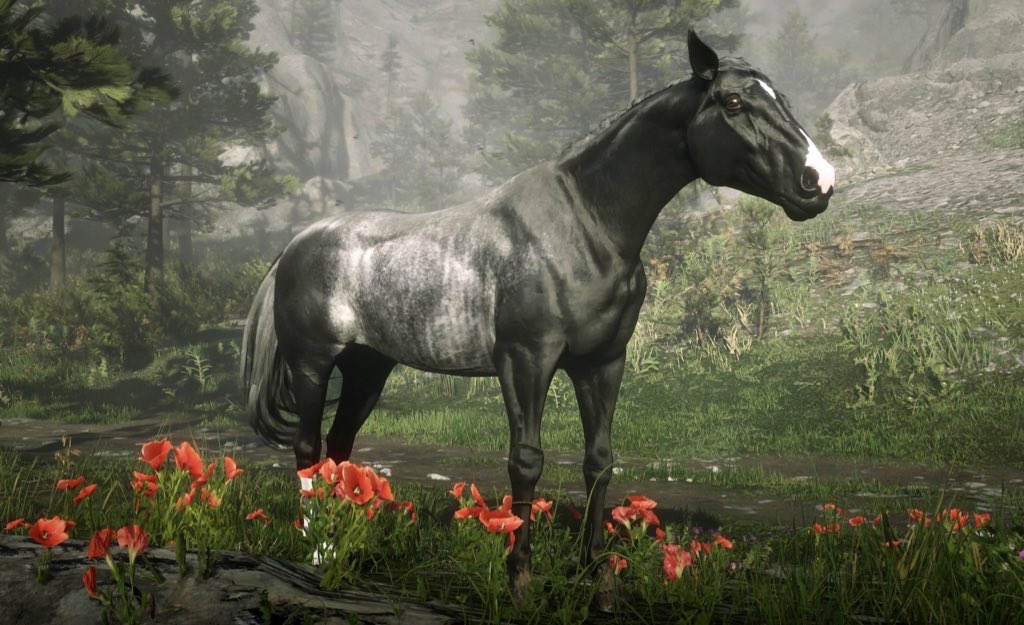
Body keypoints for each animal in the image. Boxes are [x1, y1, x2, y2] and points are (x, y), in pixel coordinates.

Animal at [241, 30, 834, 600]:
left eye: (780, 98)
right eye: (733, 102)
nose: (820, 181)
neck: (585, 227)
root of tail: (295, 245)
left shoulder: (602, 364)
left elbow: (599, 460)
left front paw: (594, 570)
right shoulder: (525, 361)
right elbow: (525, 461)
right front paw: (520, 577)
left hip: (368, 369)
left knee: (340, 449)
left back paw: (346, 543)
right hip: (313, 363)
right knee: (307, 448)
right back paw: (318, 551)